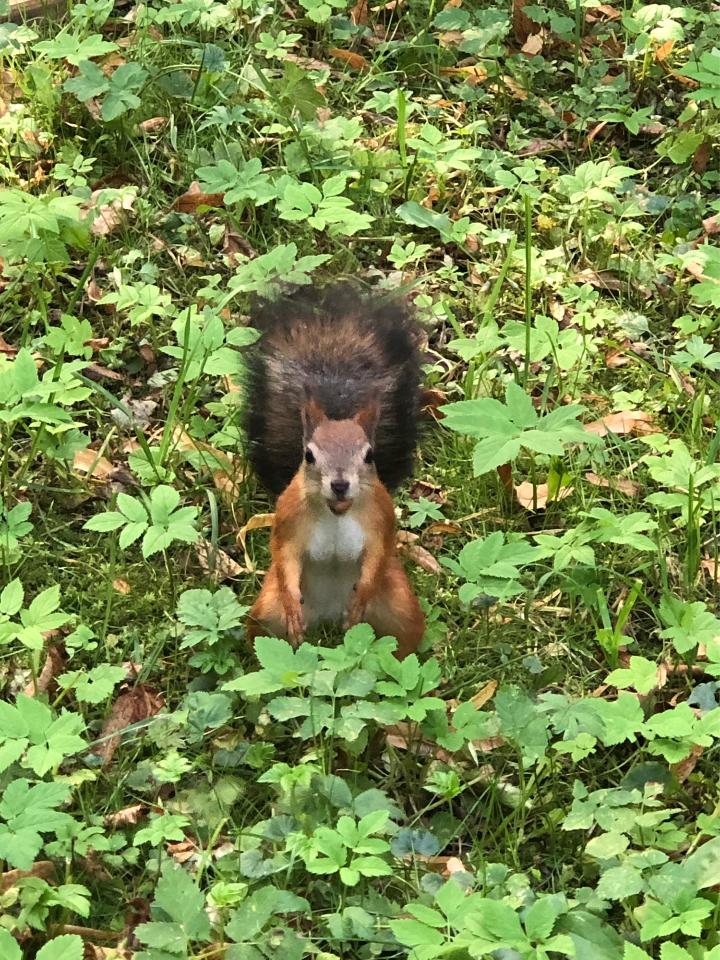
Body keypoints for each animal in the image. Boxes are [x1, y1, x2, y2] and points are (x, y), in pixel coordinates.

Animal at [245, 284, 428, 660]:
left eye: (369, 455)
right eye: (308, 455)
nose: (340, 484)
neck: (336, 514)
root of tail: (327, 617)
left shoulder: (380, 520)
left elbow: (377, 554)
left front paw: (362, 593)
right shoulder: (288, 520)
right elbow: (284, 556)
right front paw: (292, 603)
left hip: (399, 607)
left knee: (403, 639)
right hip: (266, 612)